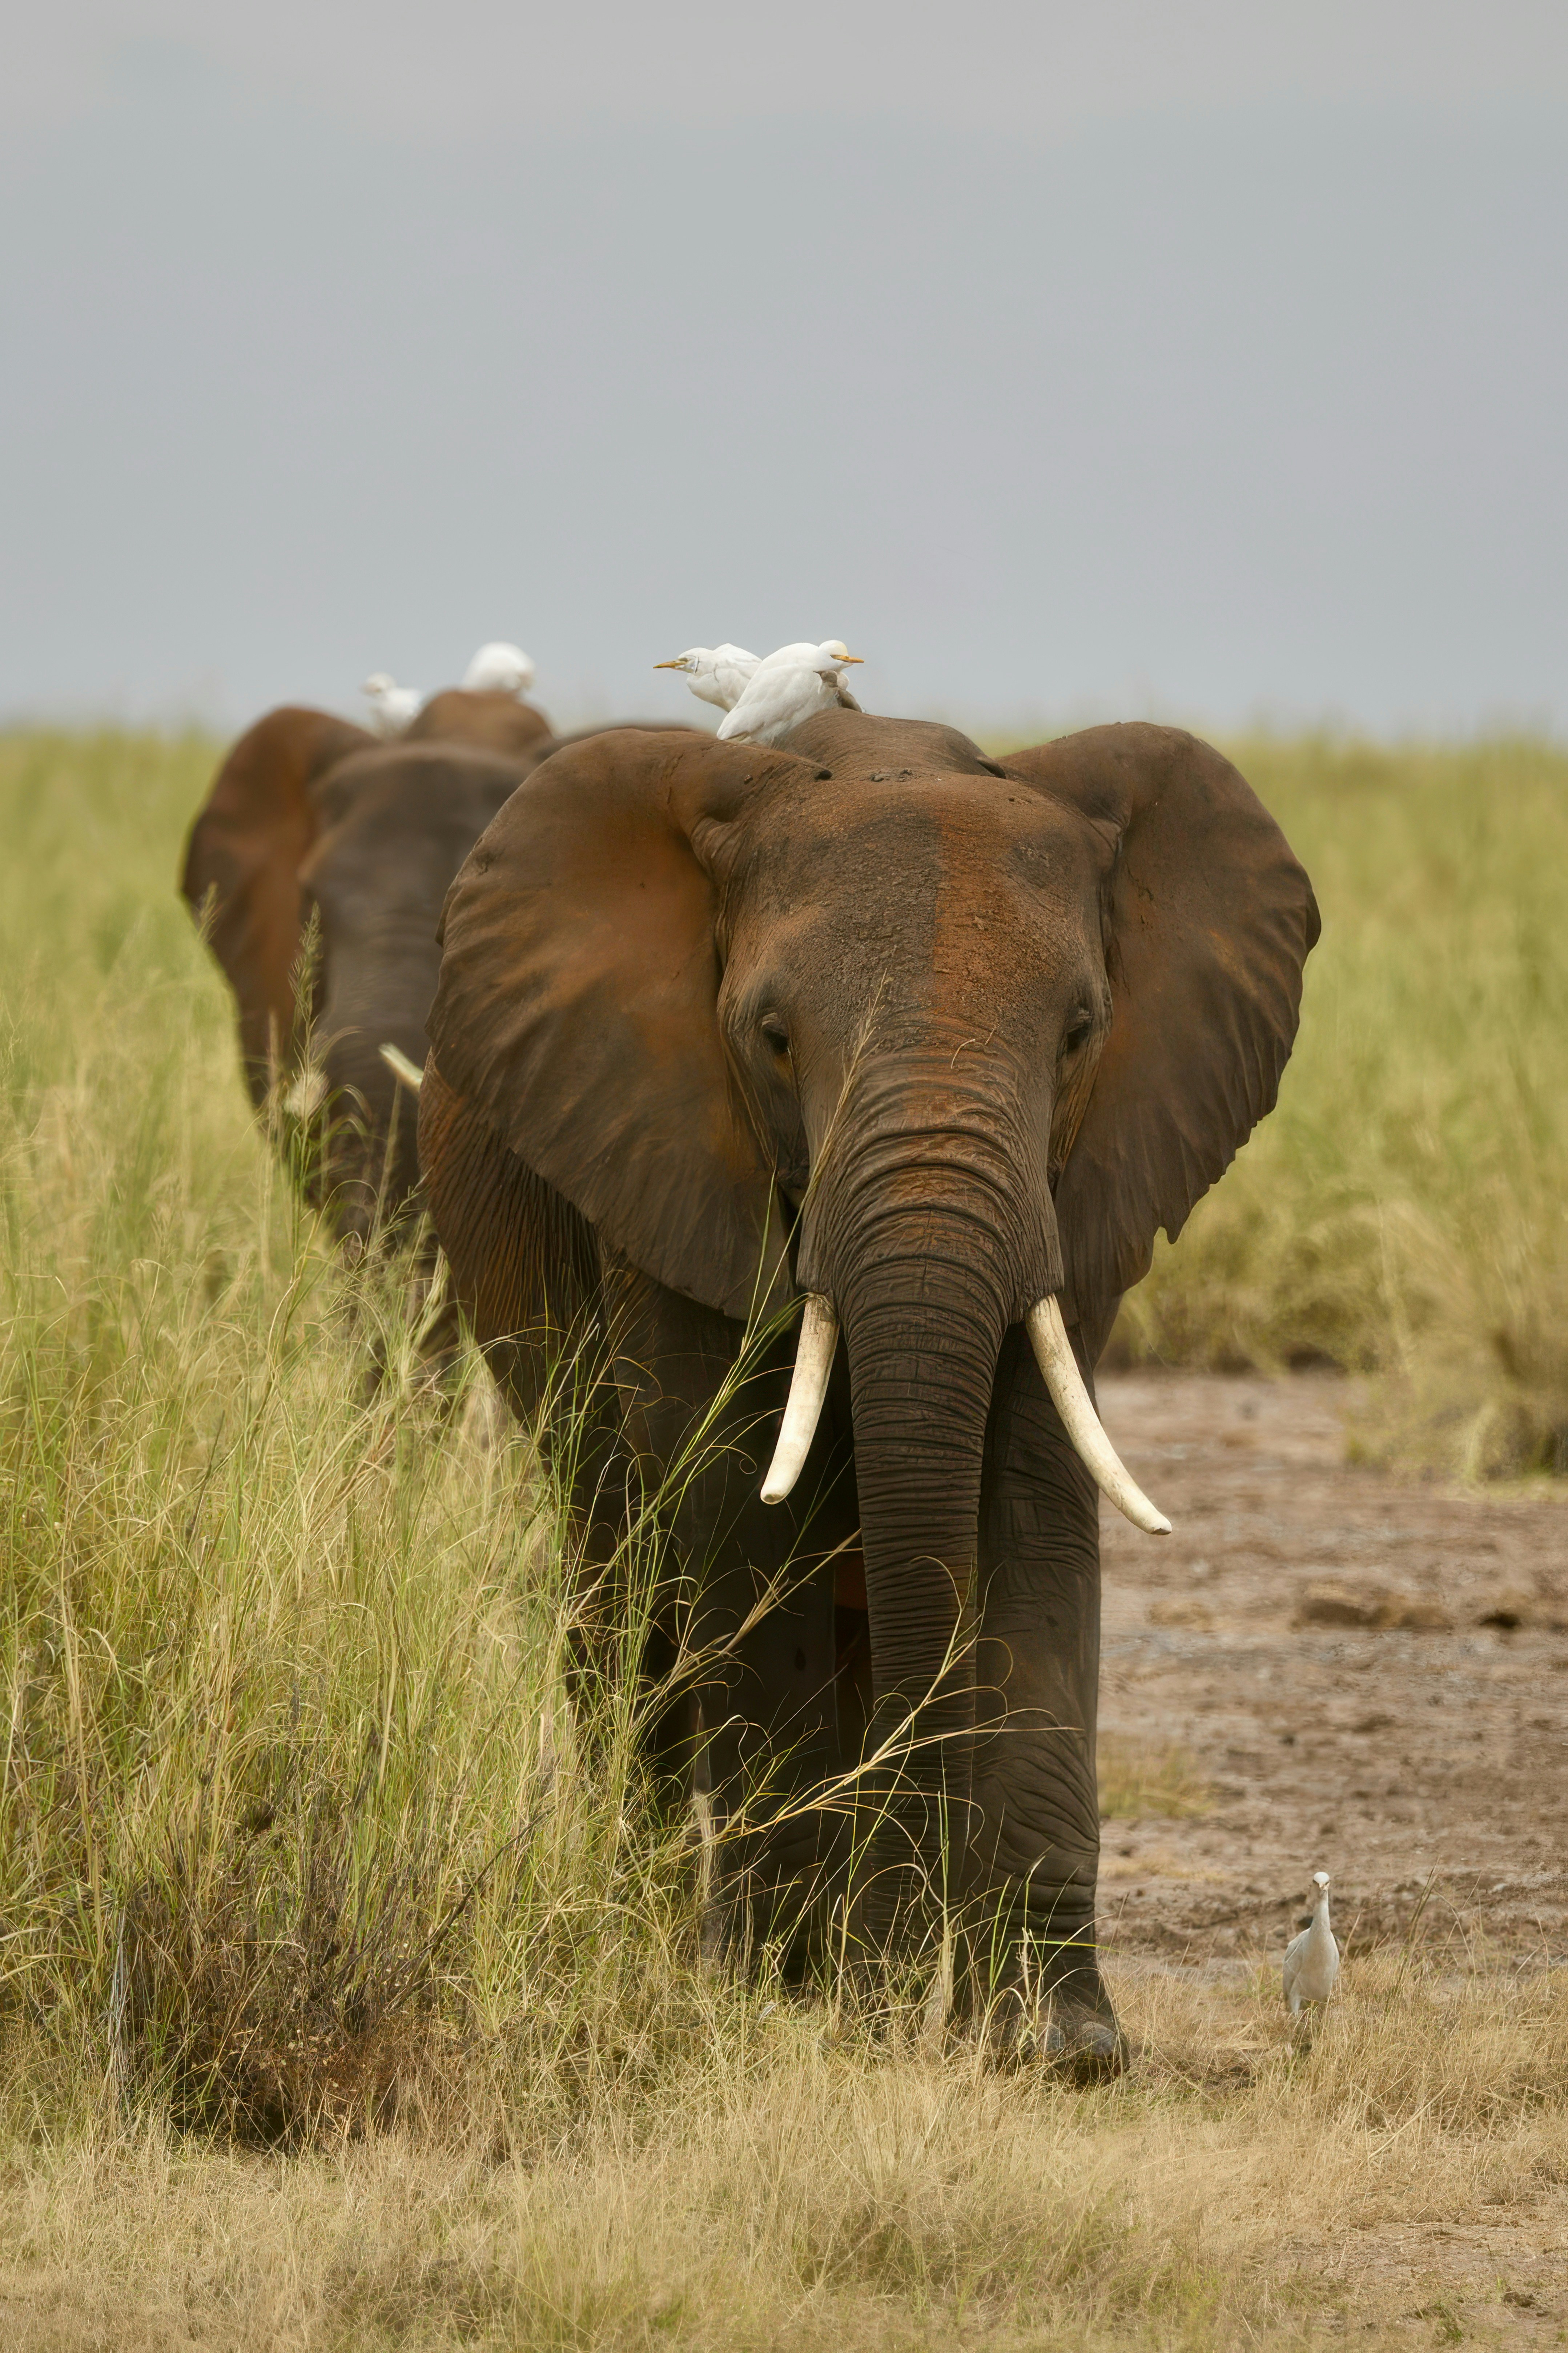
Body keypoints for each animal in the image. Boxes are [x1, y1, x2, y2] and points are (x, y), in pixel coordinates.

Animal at [418, 711, 1319, 2069]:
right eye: (773, 1038)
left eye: (1079, 1033)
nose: (895, 2002)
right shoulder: (666, 1160)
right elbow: (742, 1513)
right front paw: (797, 2006)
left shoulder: (1079, 1190)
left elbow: (1036, 1507)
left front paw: (1060, 2049)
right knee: (625, 1593)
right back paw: (661, 1937)